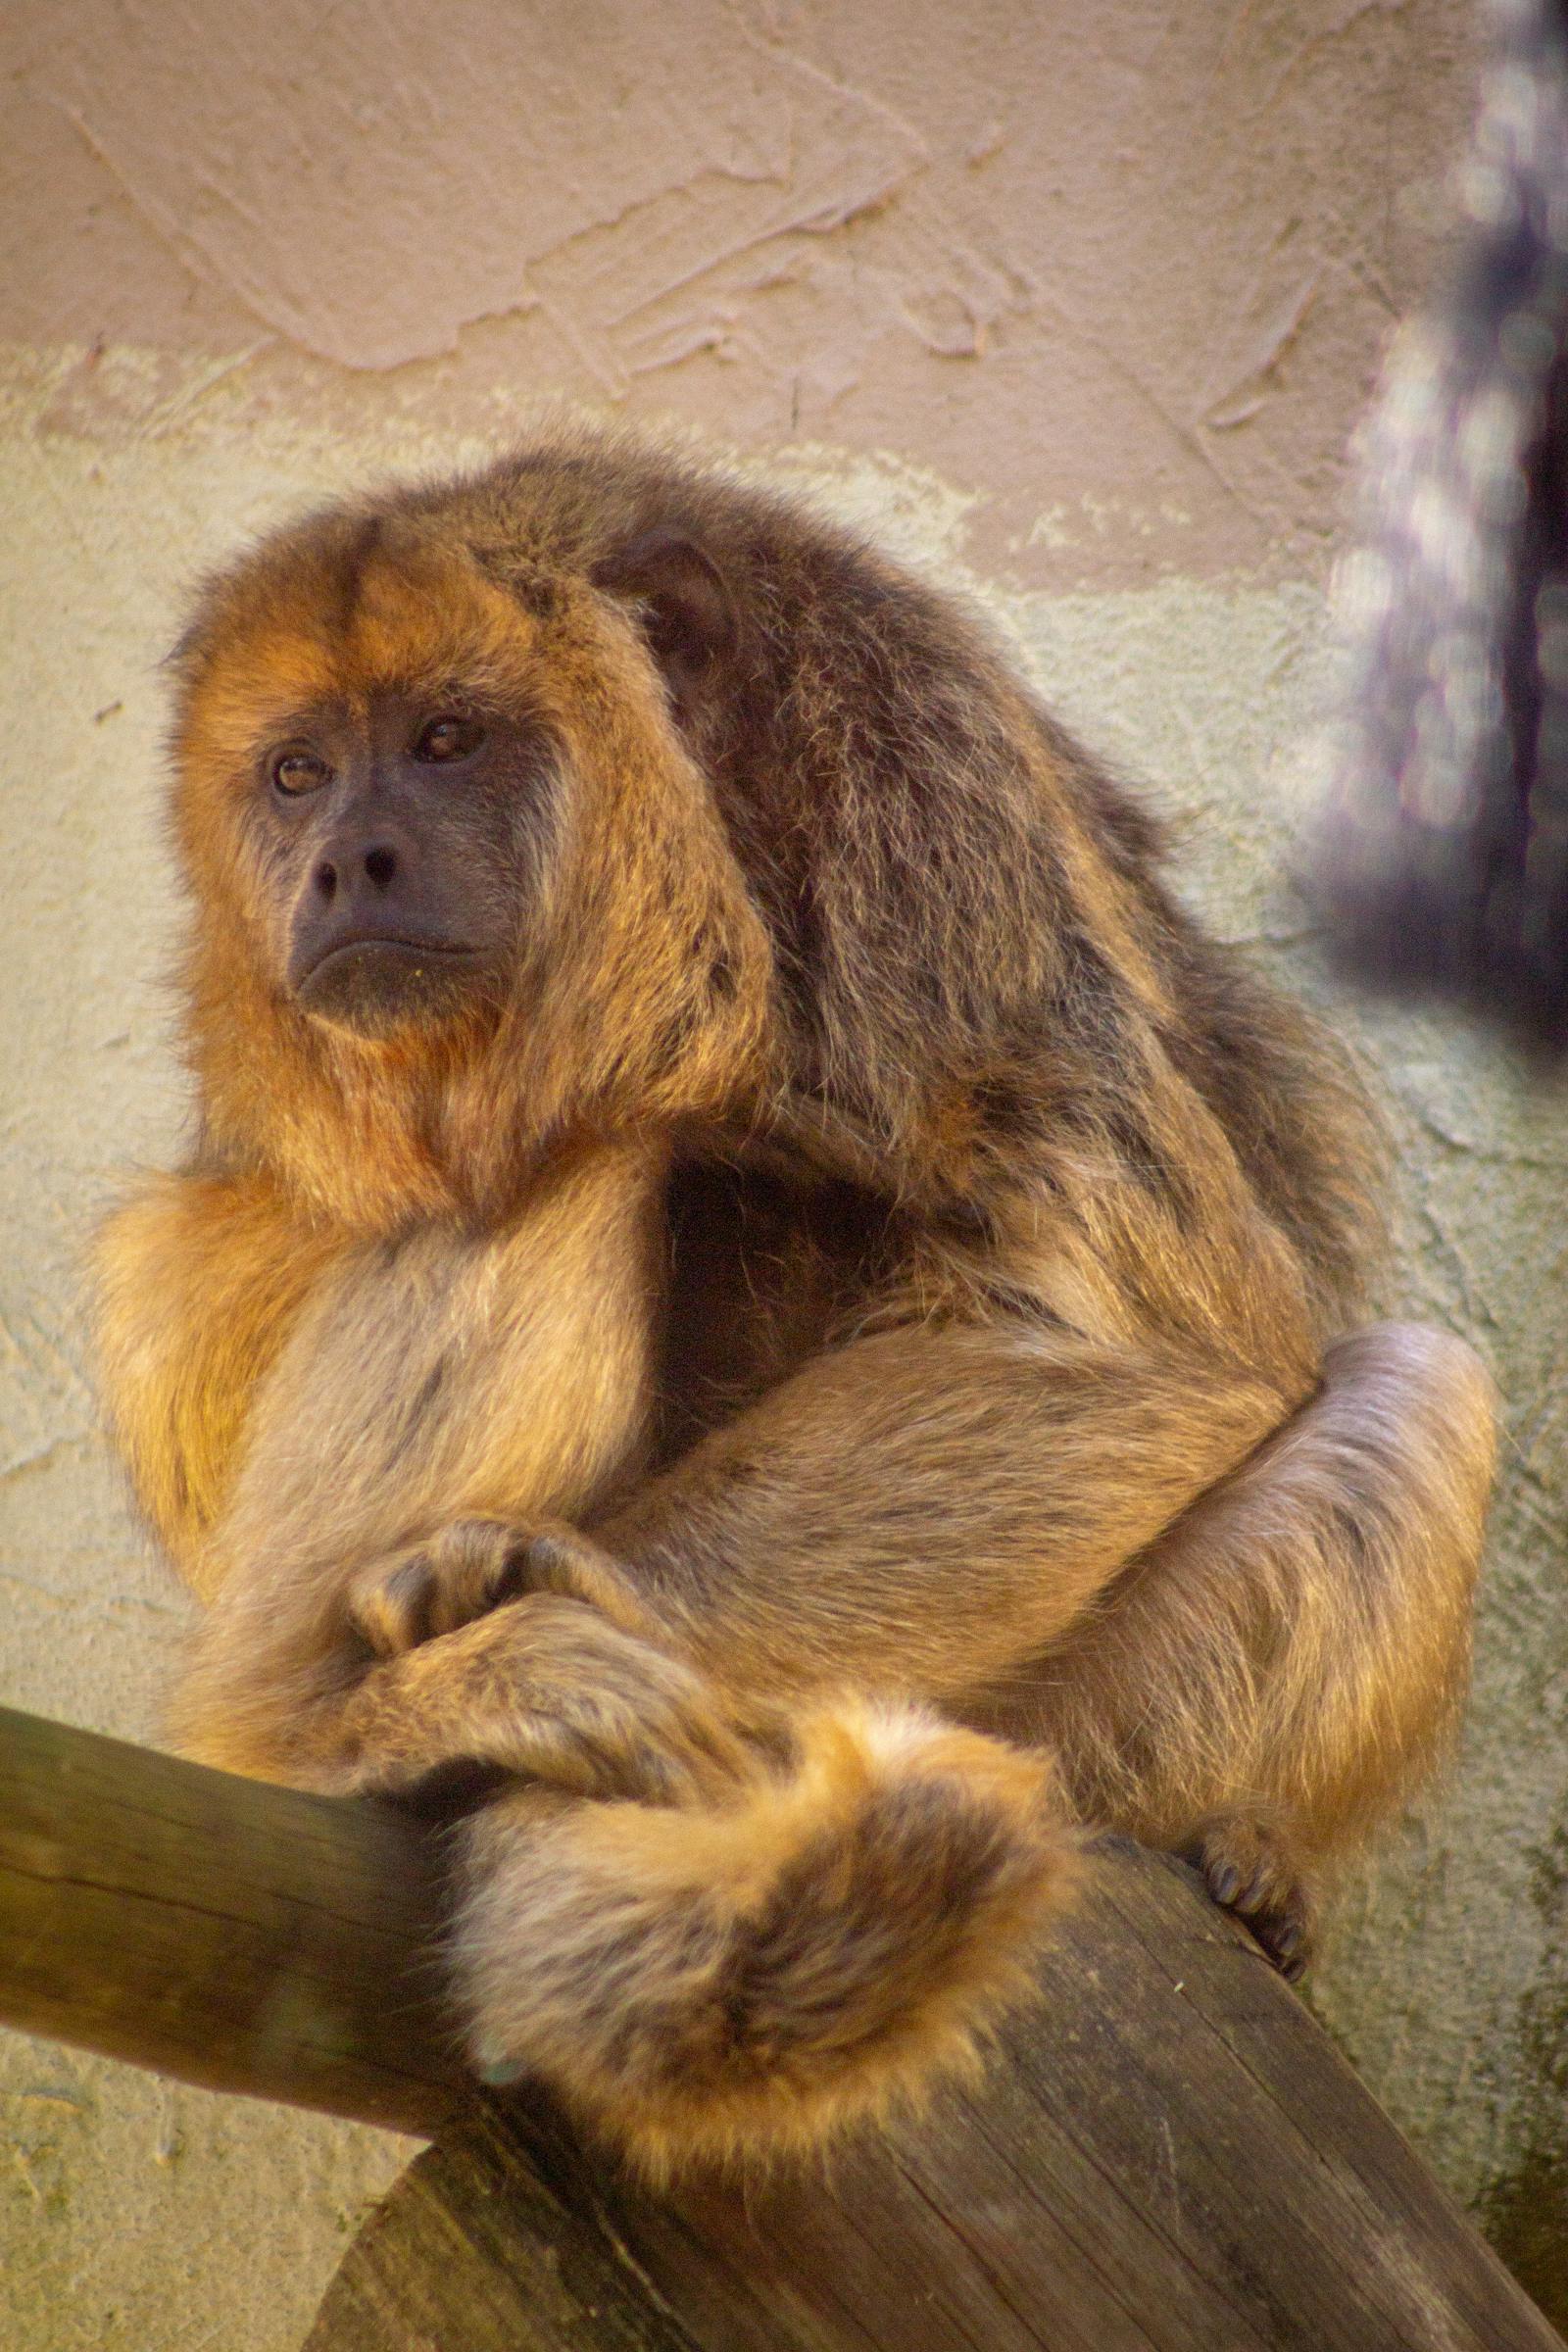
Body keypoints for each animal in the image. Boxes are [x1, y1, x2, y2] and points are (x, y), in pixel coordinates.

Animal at [92, 425, 1496, 2174]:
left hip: (1051, 1737)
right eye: (295, 773)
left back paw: (1235, 1860)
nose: (349, 859)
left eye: (445, 738)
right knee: (546, 1153)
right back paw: (318, 1733)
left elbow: (1132, 1338)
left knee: (1415, 1393)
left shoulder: (926, 810)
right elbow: (204, 1265)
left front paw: (567, 1585)